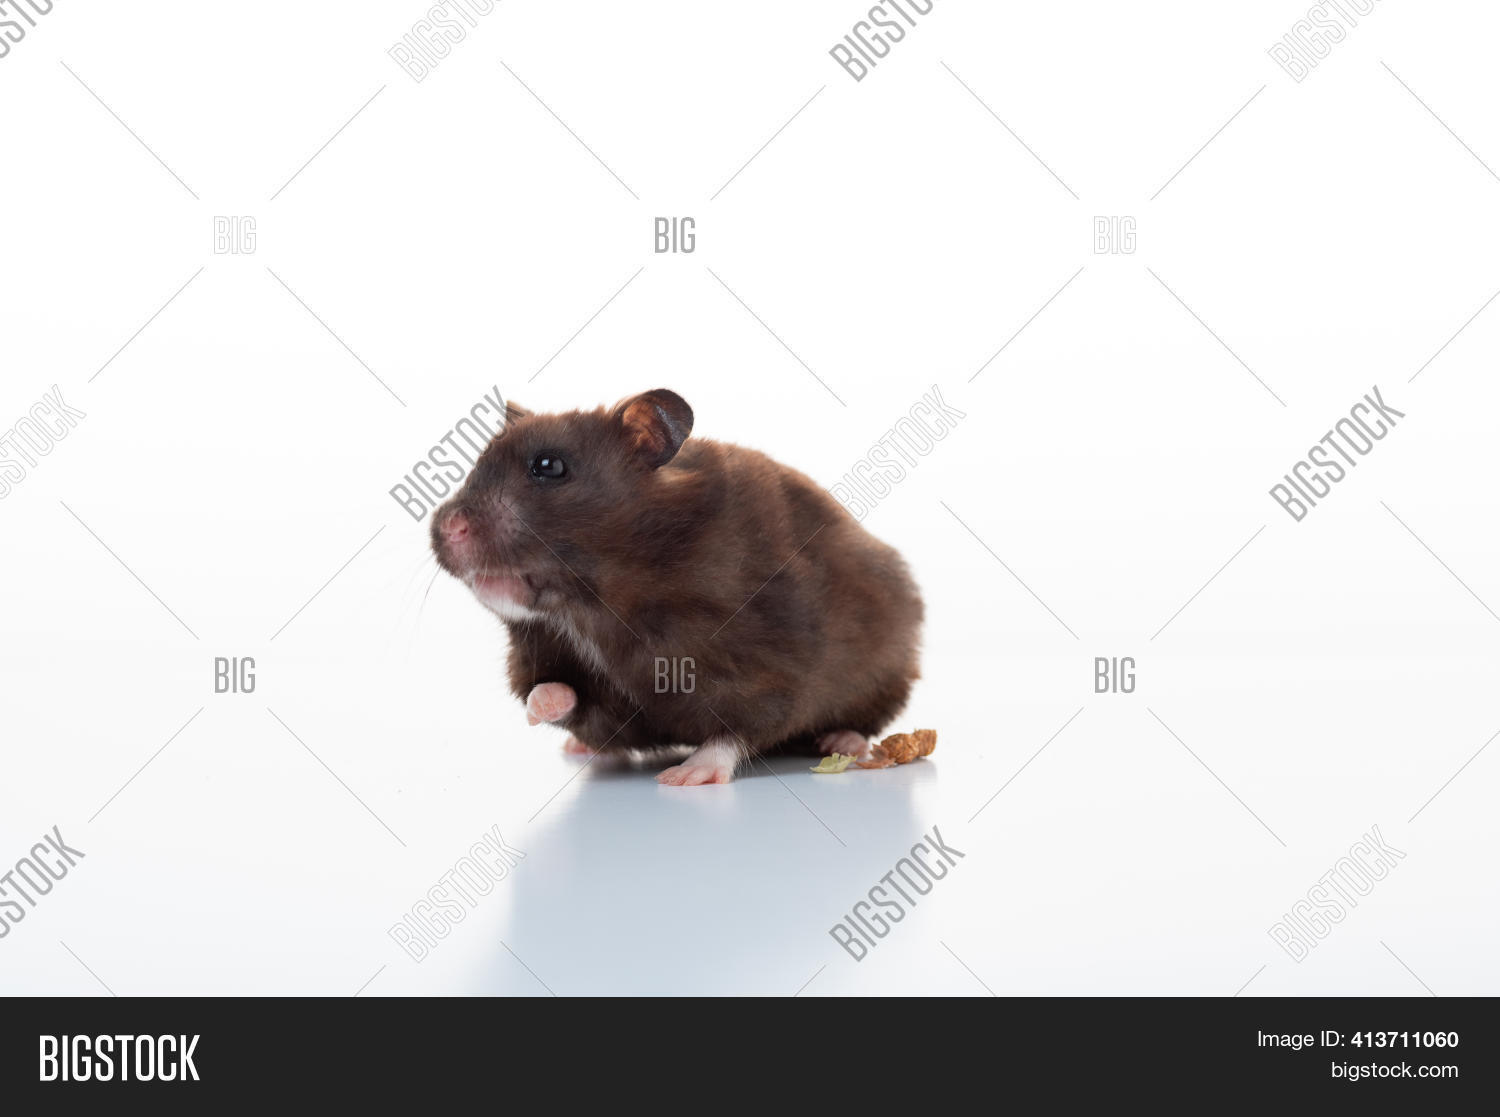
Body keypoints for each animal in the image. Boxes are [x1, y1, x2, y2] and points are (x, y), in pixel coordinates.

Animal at [430, 389, 923, 786]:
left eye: (548, 466)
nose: (447, 528)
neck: (598, 606)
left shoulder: (771, 670)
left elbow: (741, 729)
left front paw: (683, 777)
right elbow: (560, 693)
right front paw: (544, 710)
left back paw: (842, 741)